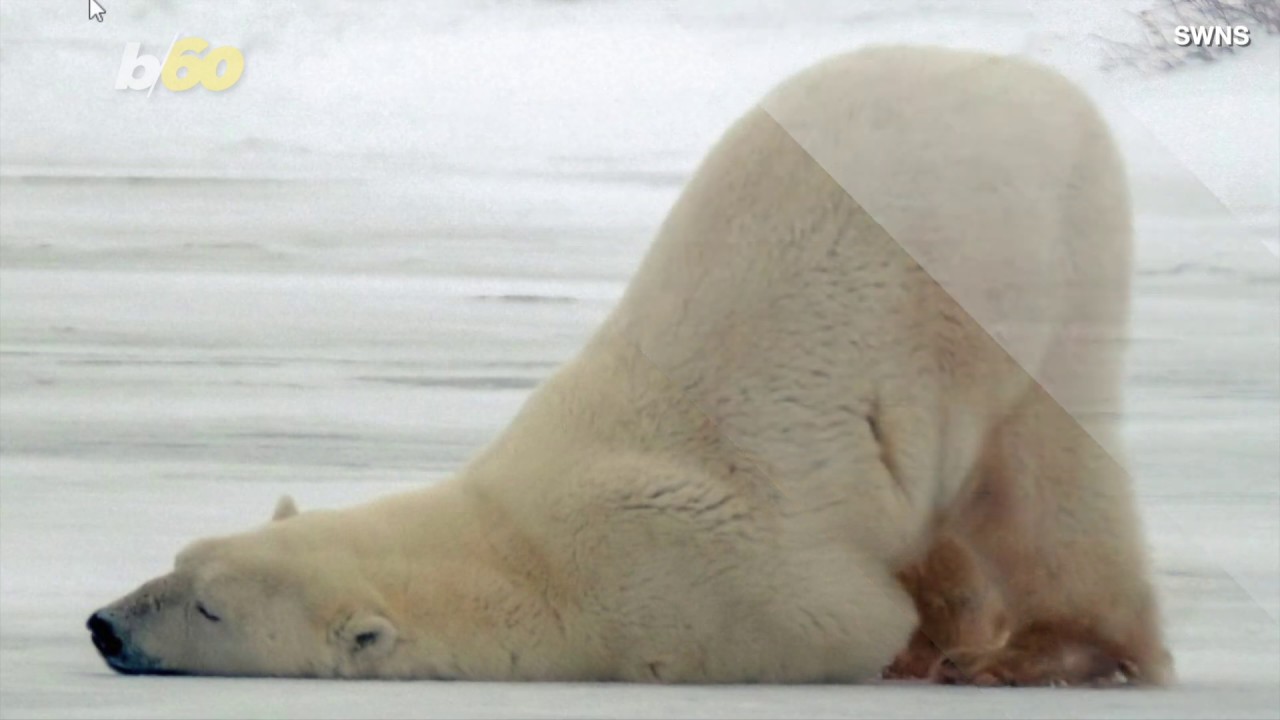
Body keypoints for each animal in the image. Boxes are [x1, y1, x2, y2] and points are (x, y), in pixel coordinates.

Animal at [87, 45, 1172, 685]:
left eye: (209, 605)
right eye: (179, 557)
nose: (103, 625)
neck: (521, 549)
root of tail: (1030, 79)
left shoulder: (721, 596)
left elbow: (855, 615)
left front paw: (913, 646)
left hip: (1027, 259)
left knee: (1044, 472)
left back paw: (1048, 652)